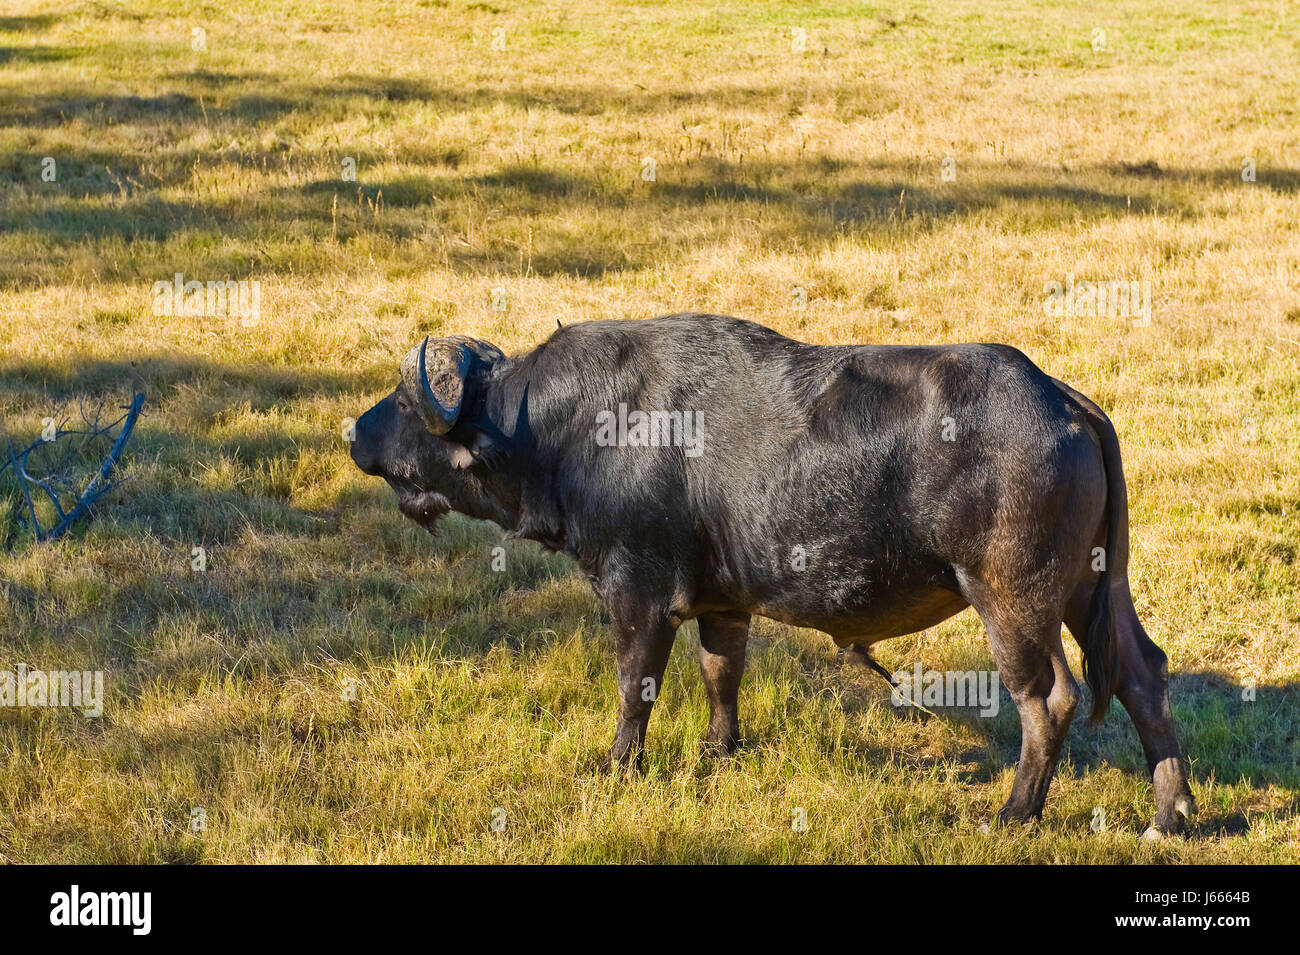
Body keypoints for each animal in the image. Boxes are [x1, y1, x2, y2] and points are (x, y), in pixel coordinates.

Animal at [349, 313, 1195, 836]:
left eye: (402, 402)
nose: (354, 430)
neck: (569, 426)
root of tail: (1065, 401)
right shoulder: (723, 603)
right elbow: (721, 674)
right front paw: (719, 751)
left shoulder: (638, 595)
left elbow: (634, 688)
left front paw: (620, 764)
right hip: (1092, 589)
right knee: (1144, 674)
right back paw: (1170, 813)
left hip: (1012, 599)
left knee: (1048, 699)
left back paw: (1015, 812)